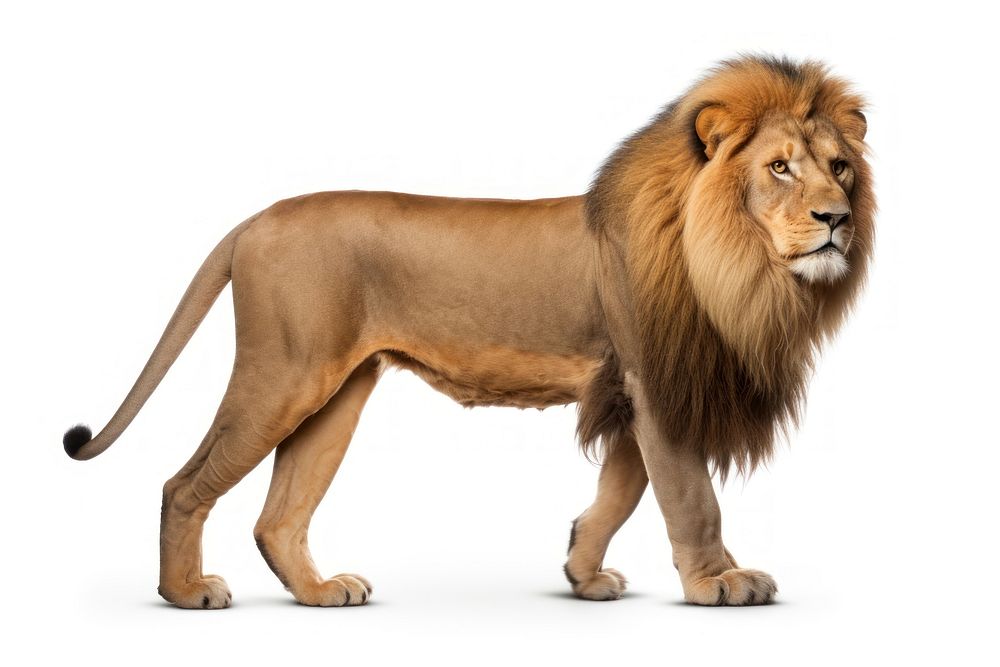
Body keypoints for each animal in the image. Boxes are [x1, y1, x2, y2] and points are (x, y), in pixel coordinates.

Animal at [63, 55, 874, 609]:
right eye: (779, 168)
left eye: (840, 167)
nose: (837, 218)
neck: (739, 266)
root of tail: (252, 221)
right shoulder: (658, 382)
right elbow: (690, 496)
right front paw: (720, 581)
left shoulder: (629, 391)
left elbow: (622, 488)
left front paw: (582, 571)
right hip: (283, 374)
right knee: (182, 483)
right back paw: (185, 592)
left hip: (337, 392)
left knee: (278, 517)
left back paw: (322, 591)